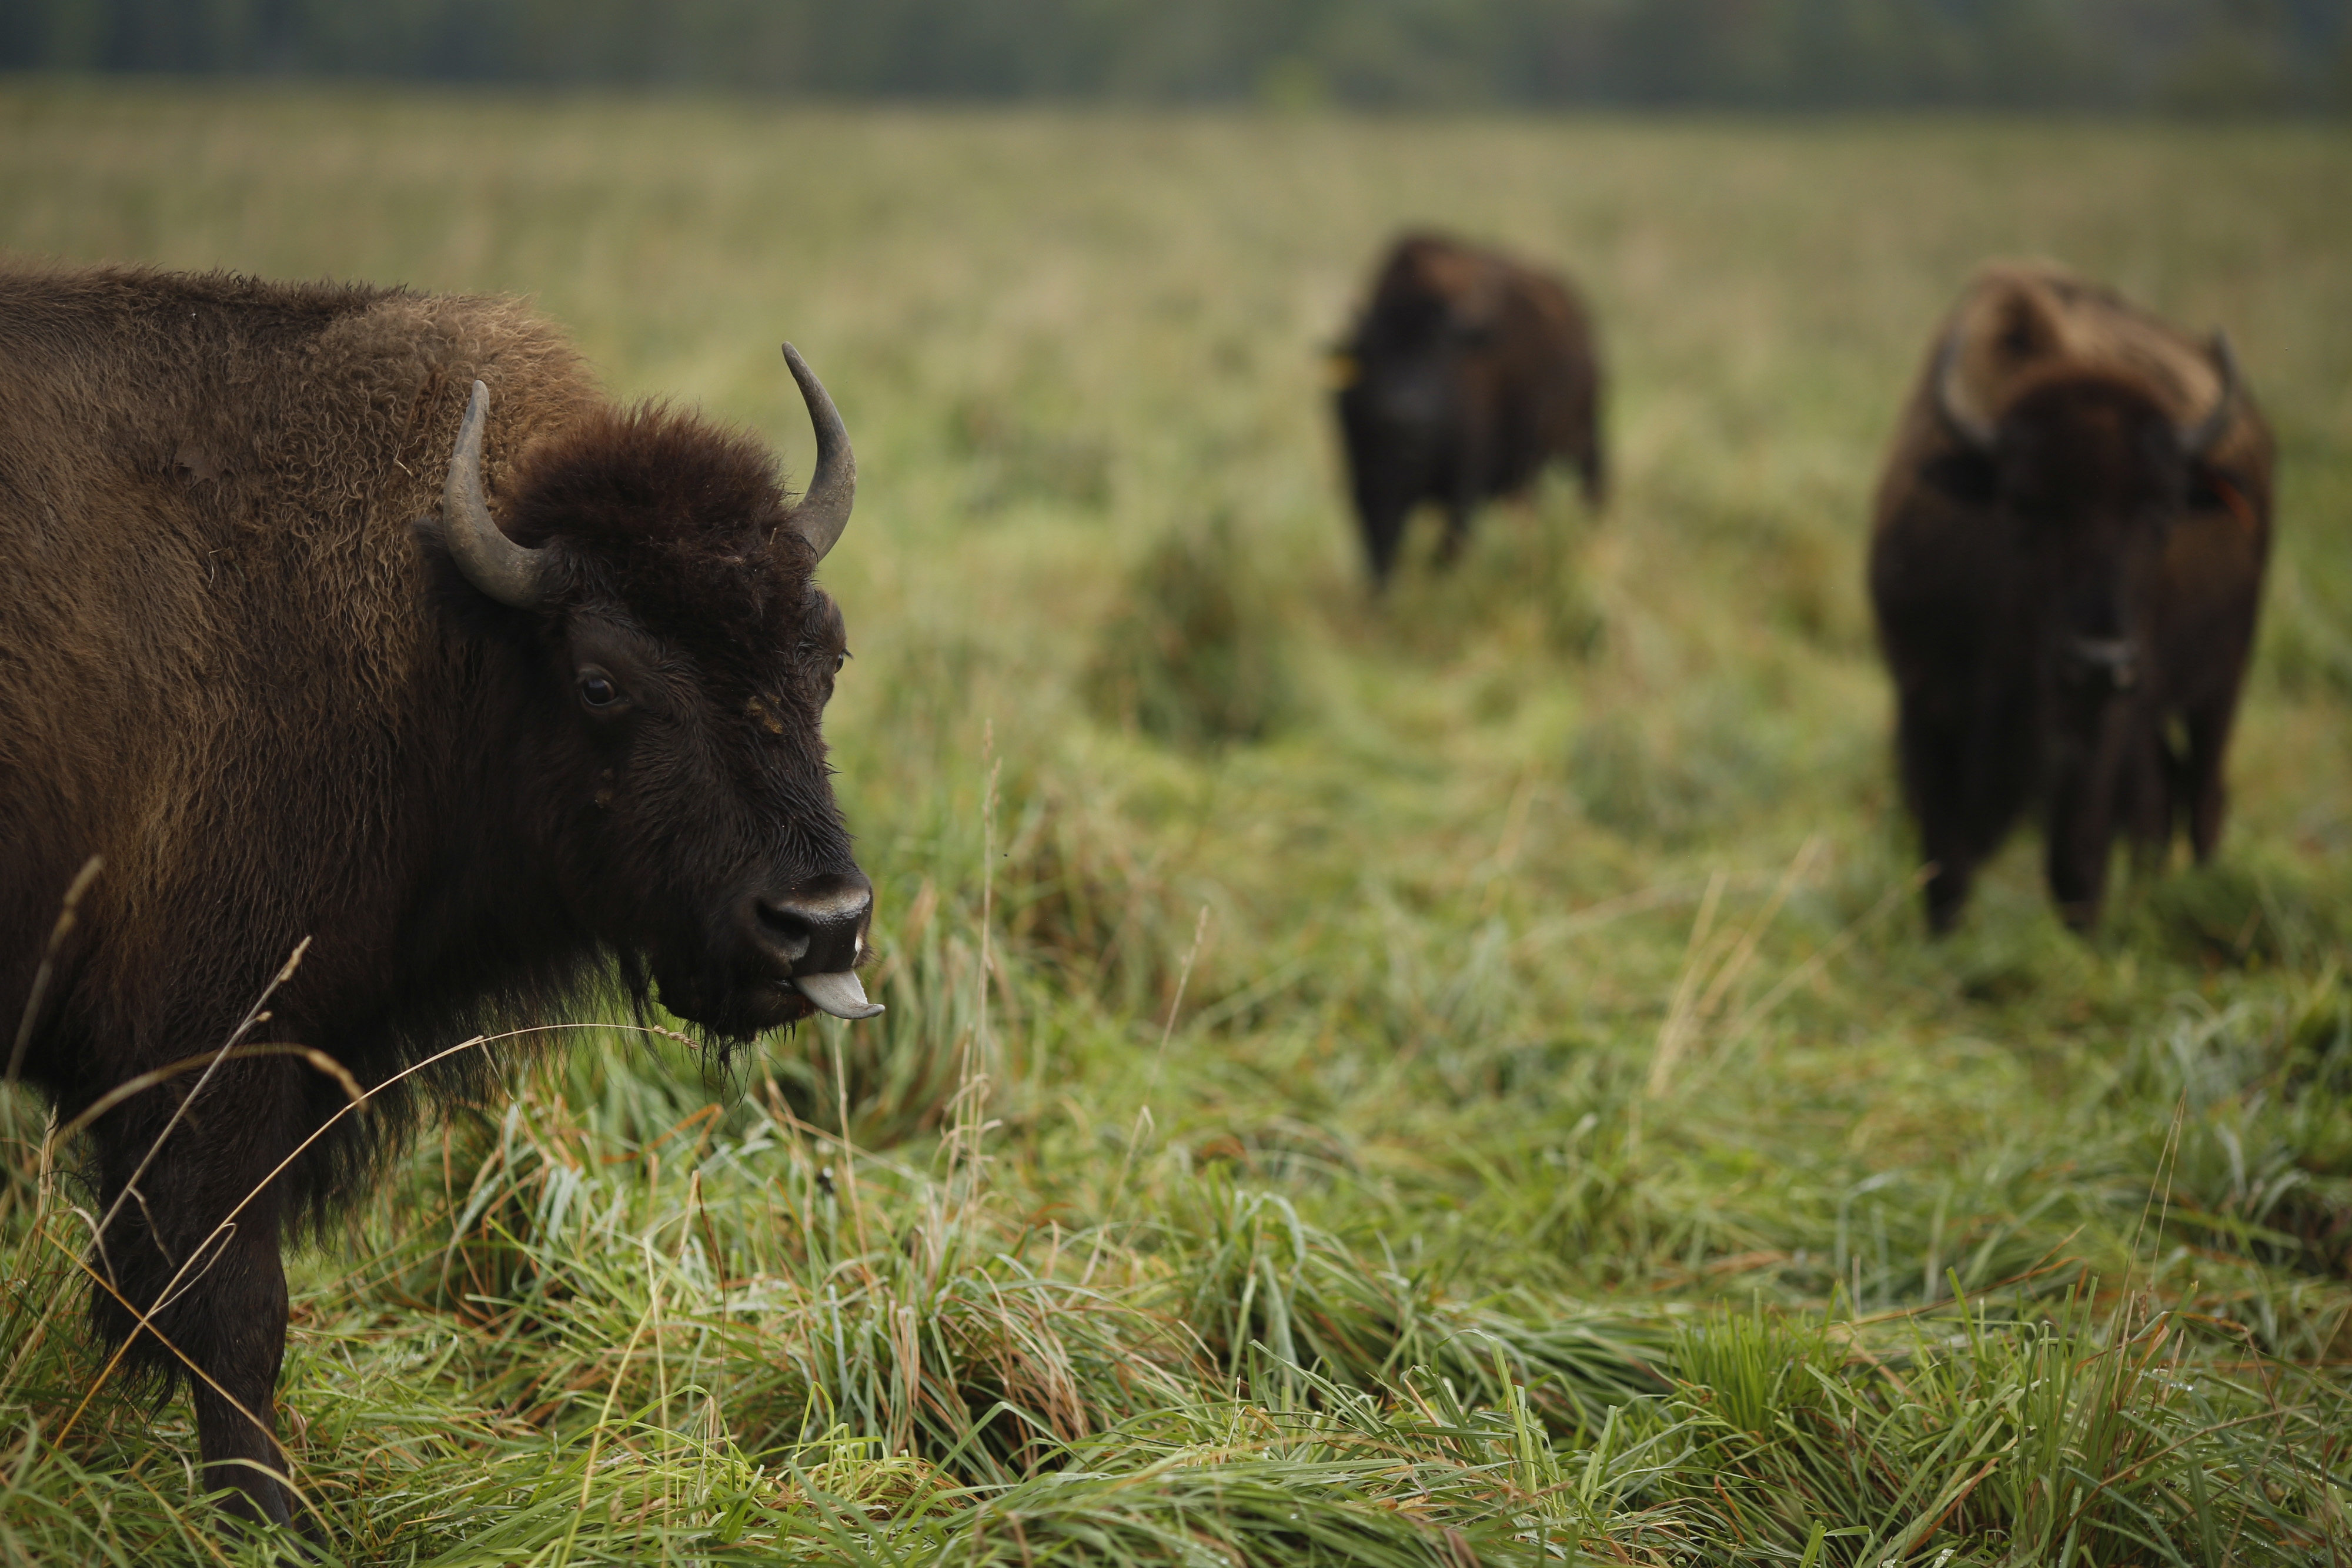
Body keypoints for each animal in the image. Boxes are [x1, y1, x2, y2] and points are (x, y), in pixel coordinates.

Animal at [0, 265, 882, 1529]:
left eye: (827, 654)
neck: (440, 636)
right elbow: (236, 1313)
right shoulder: (215, 1057)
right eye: (600, 680)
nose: (821, 922)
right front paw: (270, 1519)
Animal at [1332, 232, 1605, 588]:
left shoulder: (1463, 490)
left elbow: (1447, 551)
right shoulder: (1372, 491)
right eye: (1373, 353)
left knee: (1594, 491)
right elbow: (1382, 558)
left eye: (1440, 351)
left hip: (1584, 439)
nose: (1404, 414)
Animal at [1868, 261, 2273, 932]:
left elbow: (2075, 860)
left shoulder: (2098, 728)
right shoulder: (1923, 697)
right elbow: (1945, 861)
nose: (2098, 660)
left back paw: (2200, 891)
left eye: (2162, 512)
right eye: (2023, 504)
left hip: (2219, 681)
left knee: (2204, 795)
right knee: (2162, 796)